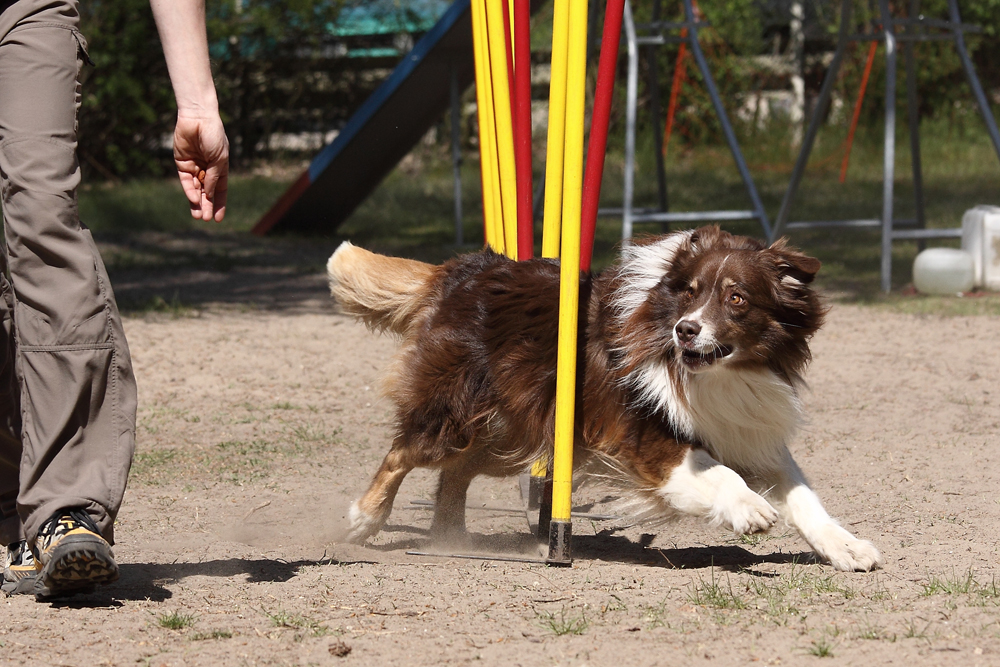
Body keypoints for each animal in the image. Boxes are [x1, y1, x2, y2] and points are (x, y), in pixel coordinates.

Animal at [328, 227, 884, 572]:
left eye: (737, 298)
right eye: (690, 292)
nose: (685, 330)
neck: (718, 374)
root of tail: (462, 269)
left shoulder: (747, 431)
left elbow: (804, 497)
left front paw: (846, 547)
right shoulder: (648, 442)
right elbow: (722, 475)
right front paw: (749, 510)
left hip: (514, 431)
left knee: (456, 473)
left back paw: (451, 537)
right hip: (458, 413)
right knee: (403, 453)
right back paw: (363, 519)